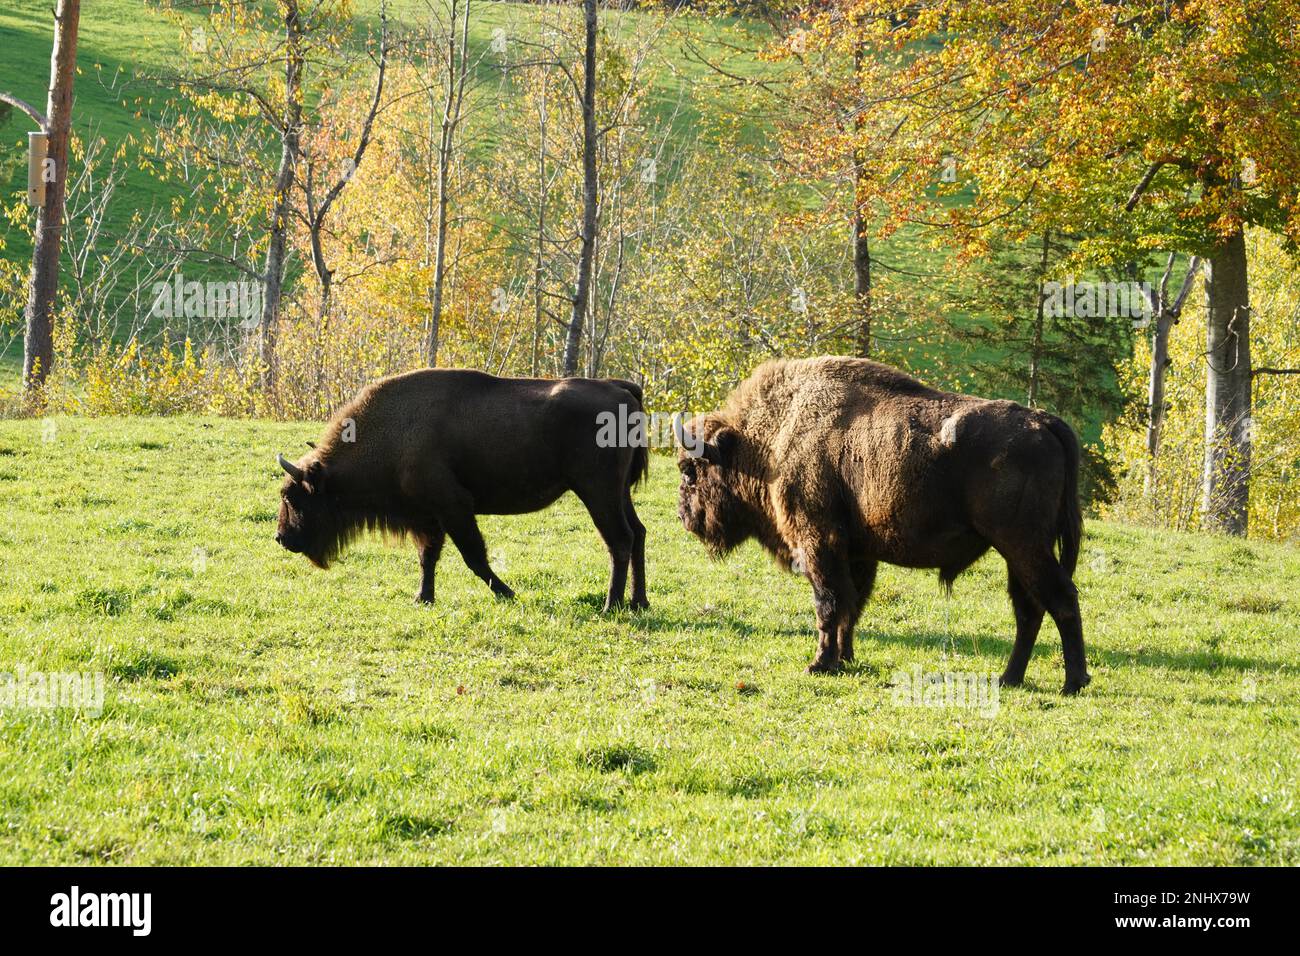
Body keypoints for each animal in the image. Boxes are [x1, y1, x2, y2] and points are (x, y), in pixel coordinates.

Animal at [276, 369, 649, 611]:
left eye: (292, 496)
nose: (281, 538)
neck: (390, 433)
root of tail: (620, 389)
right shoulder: (430, 517)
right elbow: (428, 556)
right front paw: (423, 598)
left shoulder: (454, 508)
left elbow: (473, 556)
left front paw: (507, 593)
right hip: (619, 494)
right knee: (639, 534)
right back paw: (638, 602)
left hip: (598, 492)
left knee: (620, 540)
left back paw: (611, 606)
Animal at [675, 356, 1090, 694]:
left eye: (690, 470)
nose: (683, 516)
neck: (772, 439)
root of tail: (1044, 421)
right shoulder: (856, 553)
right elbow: (851, 605)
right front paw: (845, 658)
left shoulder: (818, 542)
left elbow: (828, 604)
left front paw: (819, 664)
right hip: (1018, 554)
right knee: (1029, 610)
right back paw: (1010, 679)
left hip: (1024, 547)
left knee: (1060, 599)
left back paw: (1072, 683)